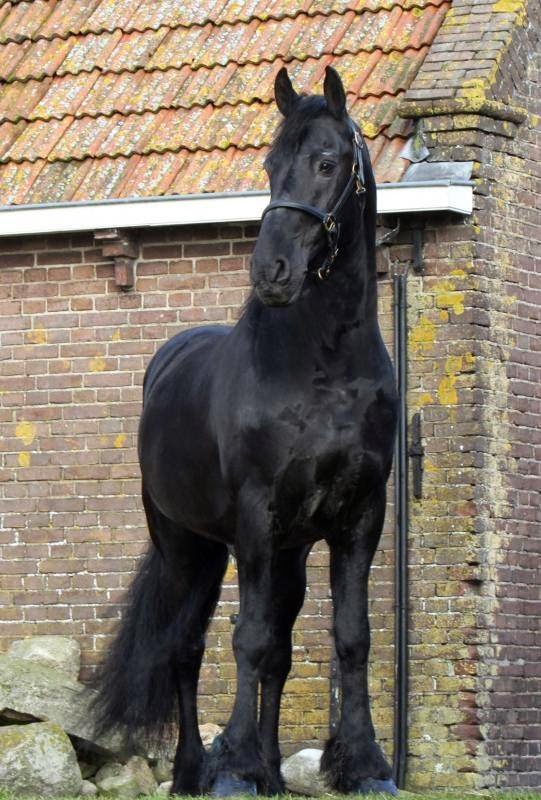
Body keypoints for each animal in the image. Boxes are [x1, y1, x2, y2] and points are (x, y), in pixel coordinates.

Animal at [93, 66, 398, 797]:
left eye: (326, 162)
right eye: (268, 165)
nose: (273, 272)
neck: (324, 371)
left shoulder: (360, 515)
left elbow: (349, 636)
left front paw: (364, 764)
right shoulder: (255, 517)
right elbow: (248, 638)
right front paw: (232, 767)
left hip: (286, 551)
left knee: (278, 654)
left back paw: (271, 771)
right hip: (189, 546)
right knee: (187, 646)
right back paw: (194, 770)